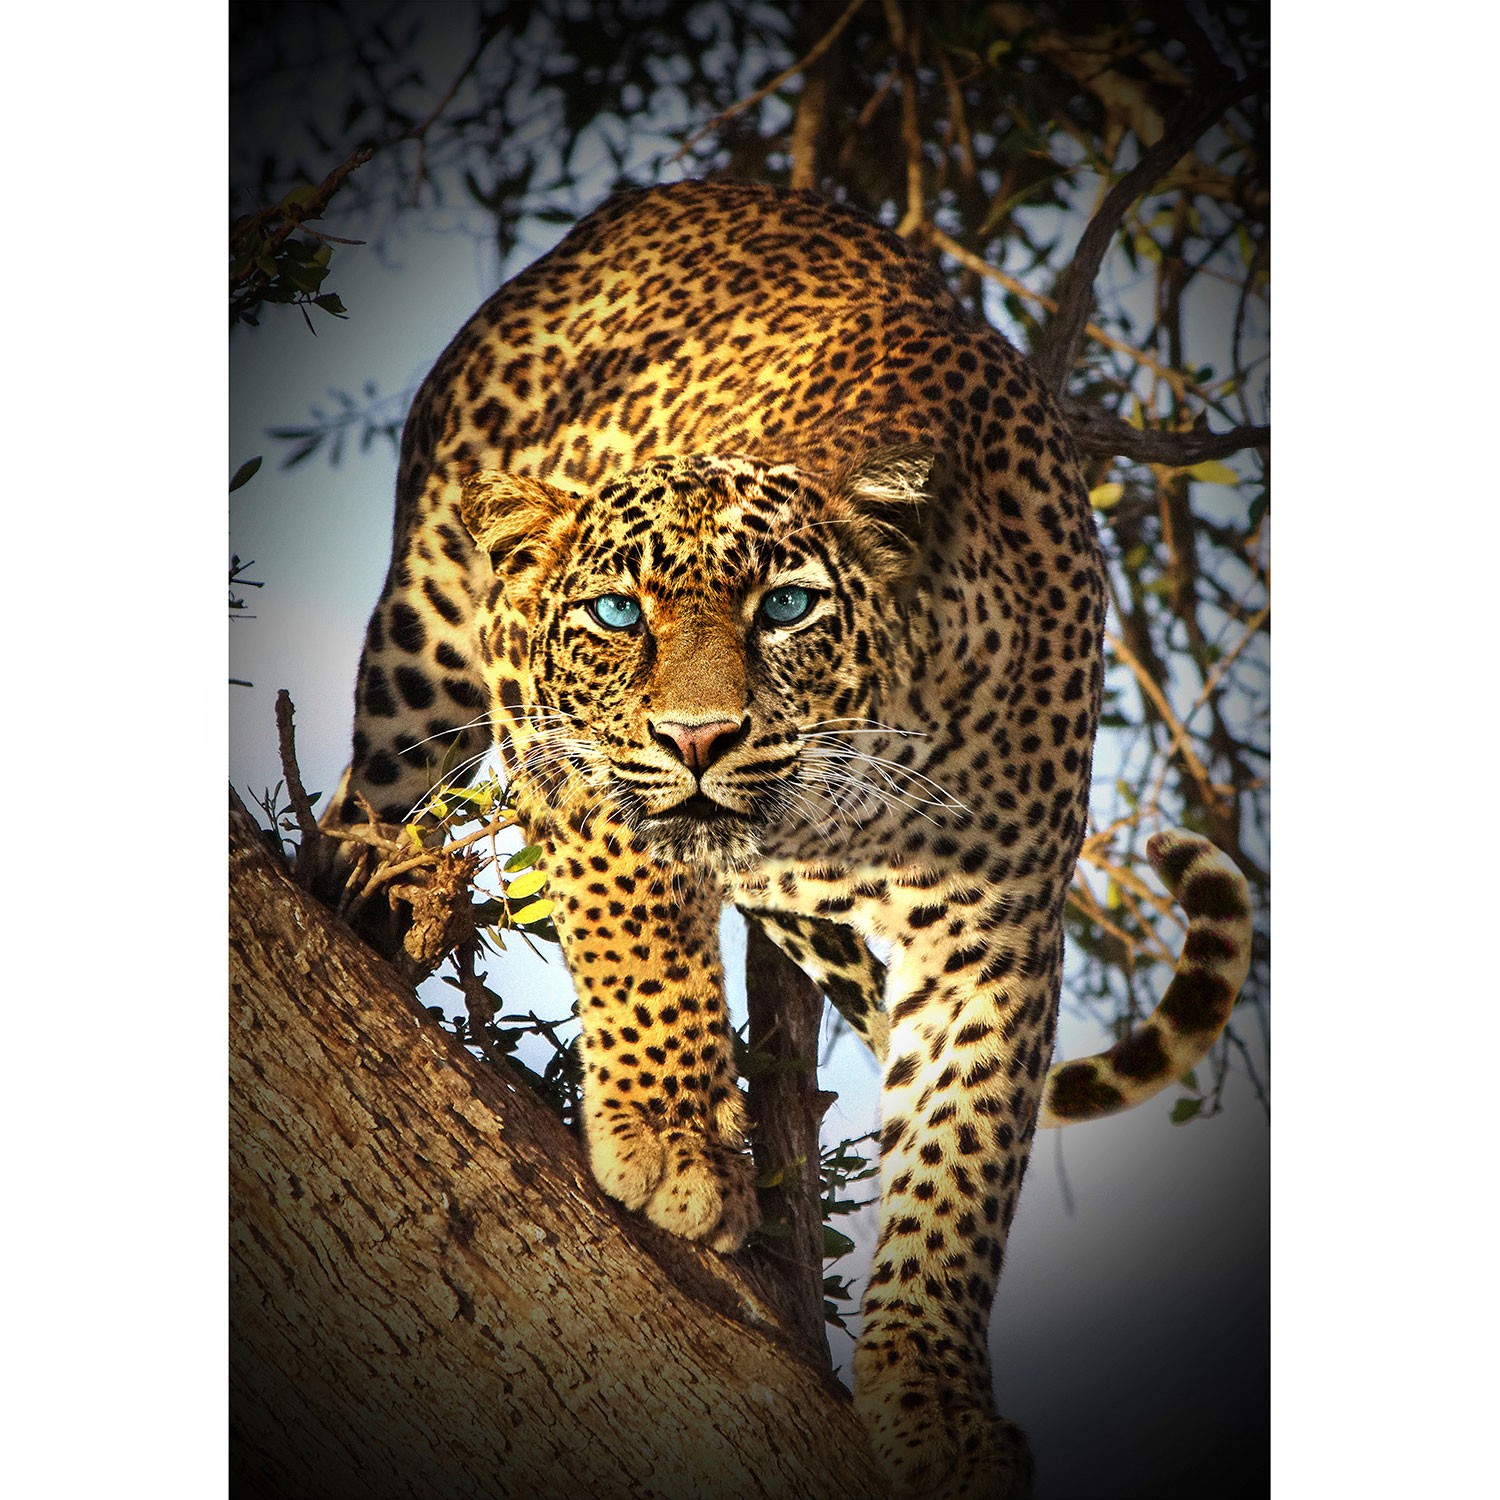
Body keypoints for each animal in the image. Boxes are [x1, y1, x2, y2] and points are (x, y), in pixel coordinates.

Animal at [330, 180, 1253, 1499]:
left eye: (787, 608)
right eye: (615, 612)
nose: (698, 736)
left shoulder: (995, 935)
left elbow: (963, 1157)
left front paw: (936, 1401)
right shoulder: (554, 728)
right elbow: (637, 936)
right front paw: (672, 1141)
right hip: (425, 644)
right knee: (376, 786)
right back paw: (363, 886)